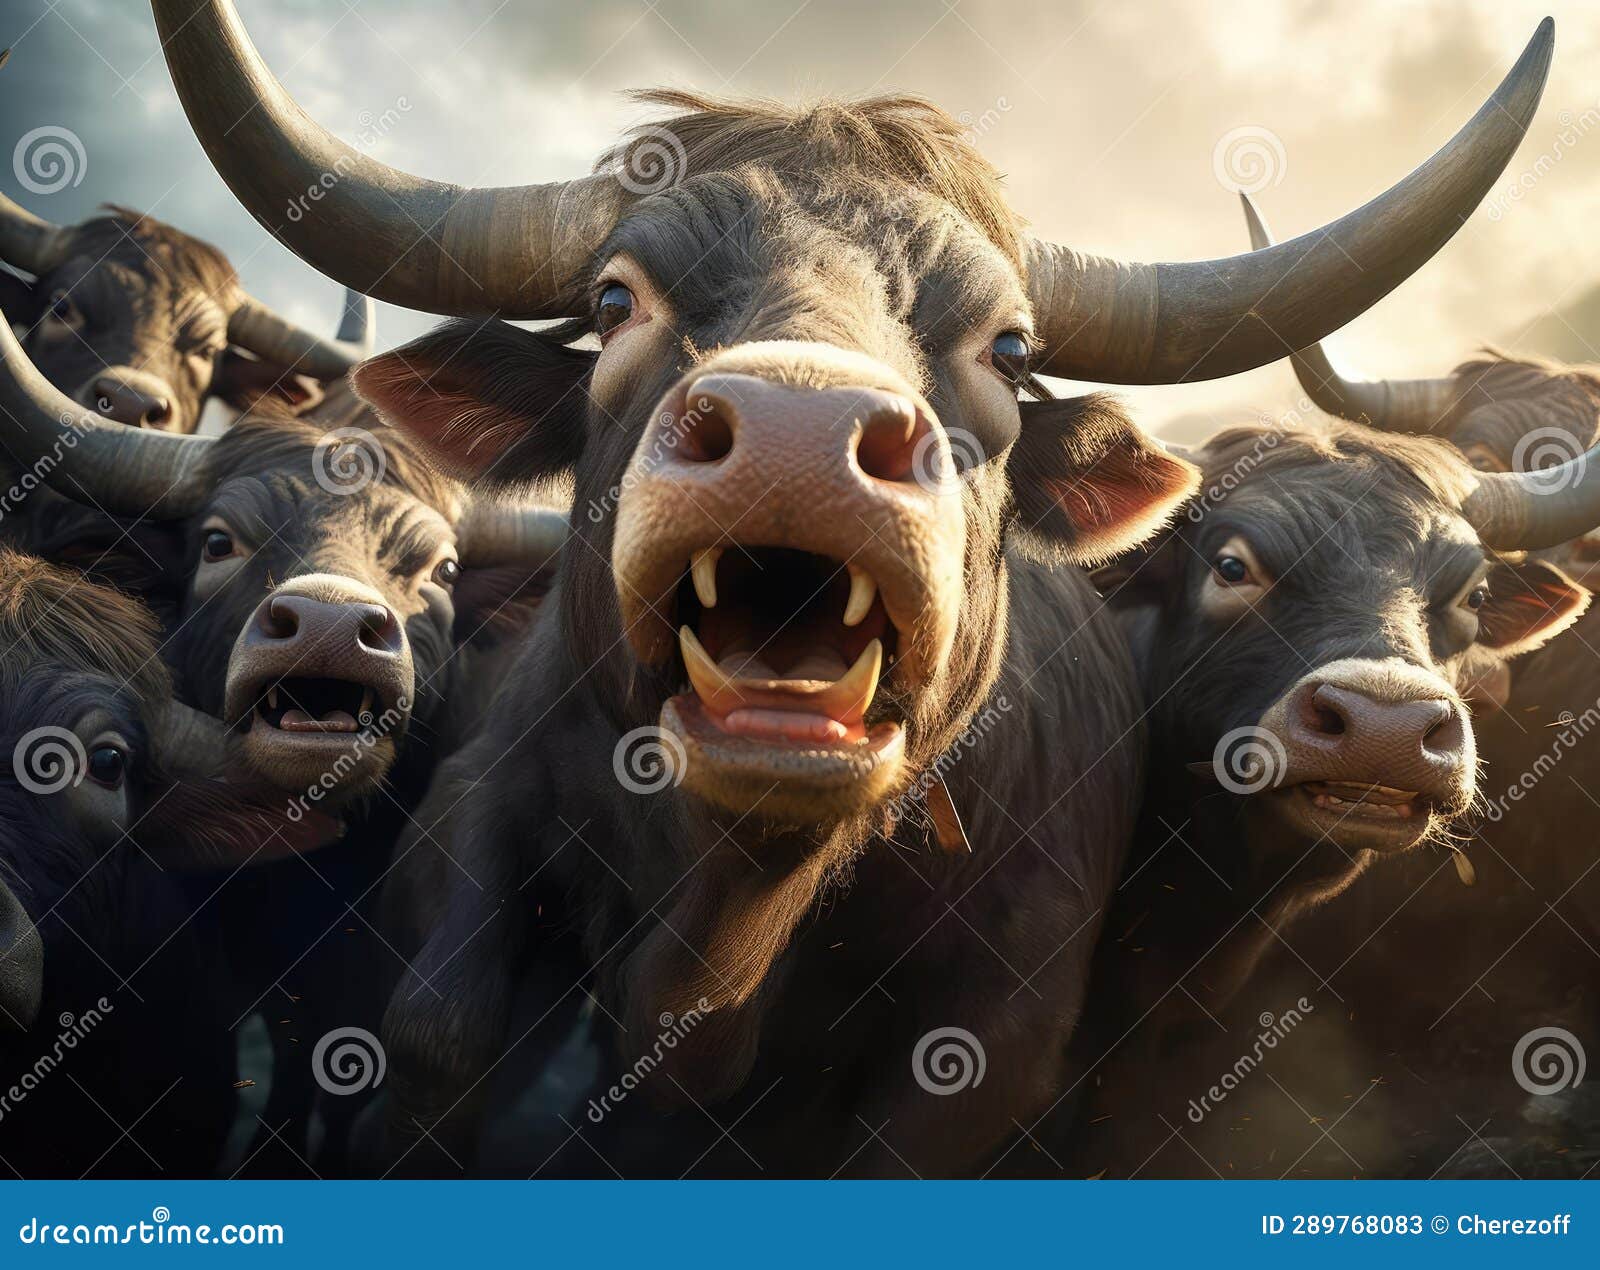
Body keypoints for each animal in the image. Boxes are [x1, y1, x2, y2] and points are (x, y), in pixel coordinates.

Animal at [153, 0, 1556, 1176]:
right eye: (612, 300)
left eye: (1010, 346)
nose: (797, 434)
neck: (727, 928)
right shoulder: (472, 825)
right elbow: (437, 1024)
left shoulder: (998, 1038)